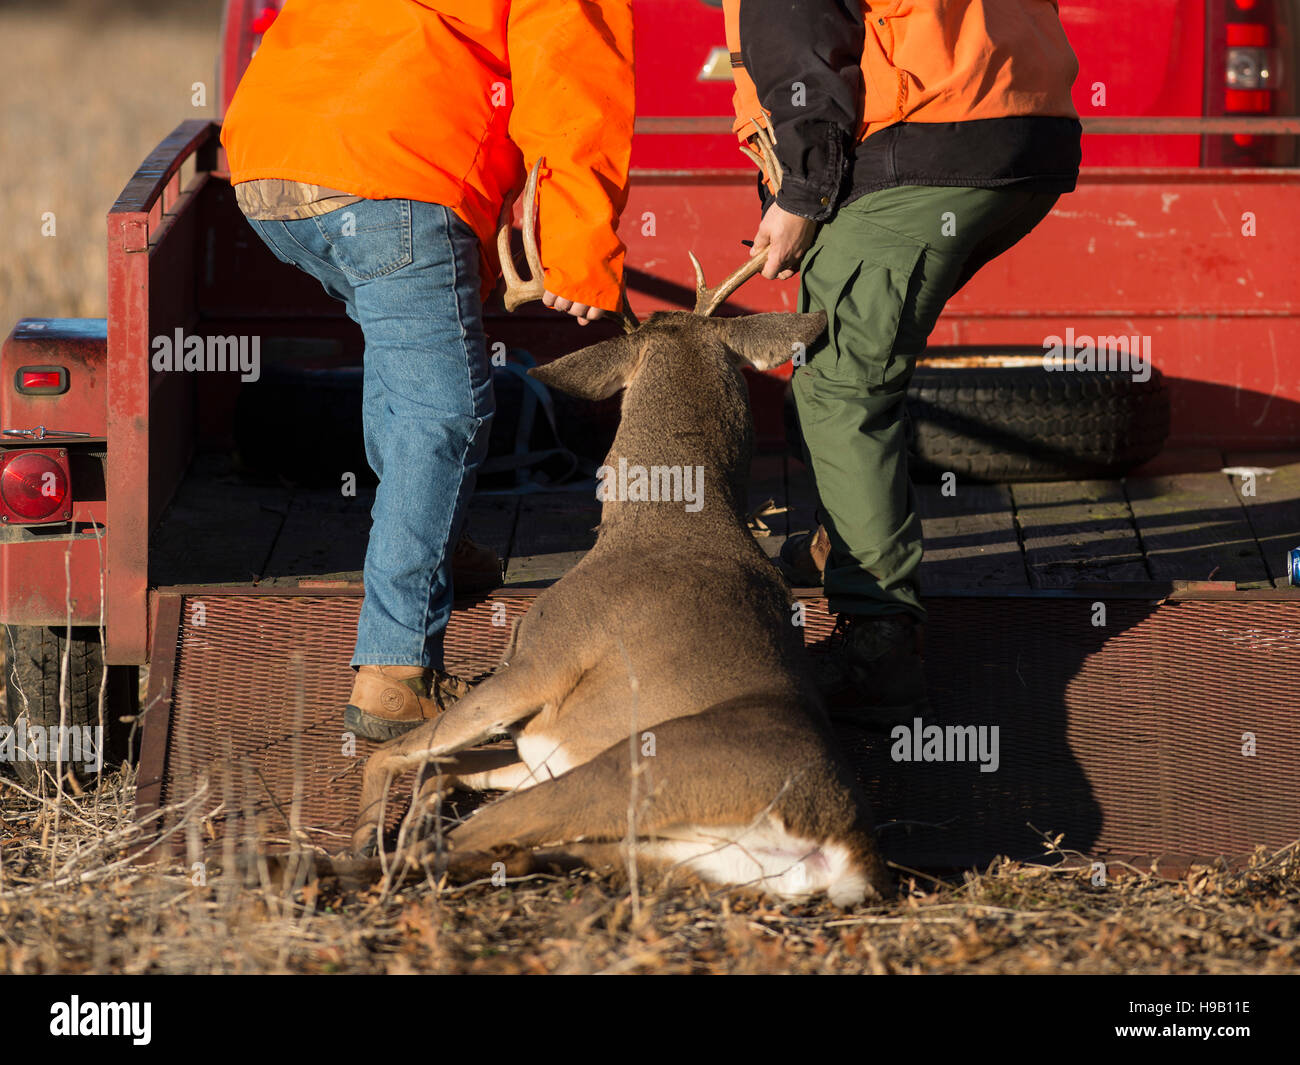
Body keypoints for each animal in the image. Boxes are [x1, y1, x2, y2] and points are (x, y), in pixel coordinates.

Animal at [346, 155, 892, 906]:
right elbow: (442, 769)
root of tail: (847, 851)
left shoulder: (539, 662)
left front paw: (366, 828)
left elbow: (405, 752)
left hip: (624, 768)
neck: (669, 516)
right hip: (647, 847)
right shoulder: (537, 747)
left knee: (437, 838)